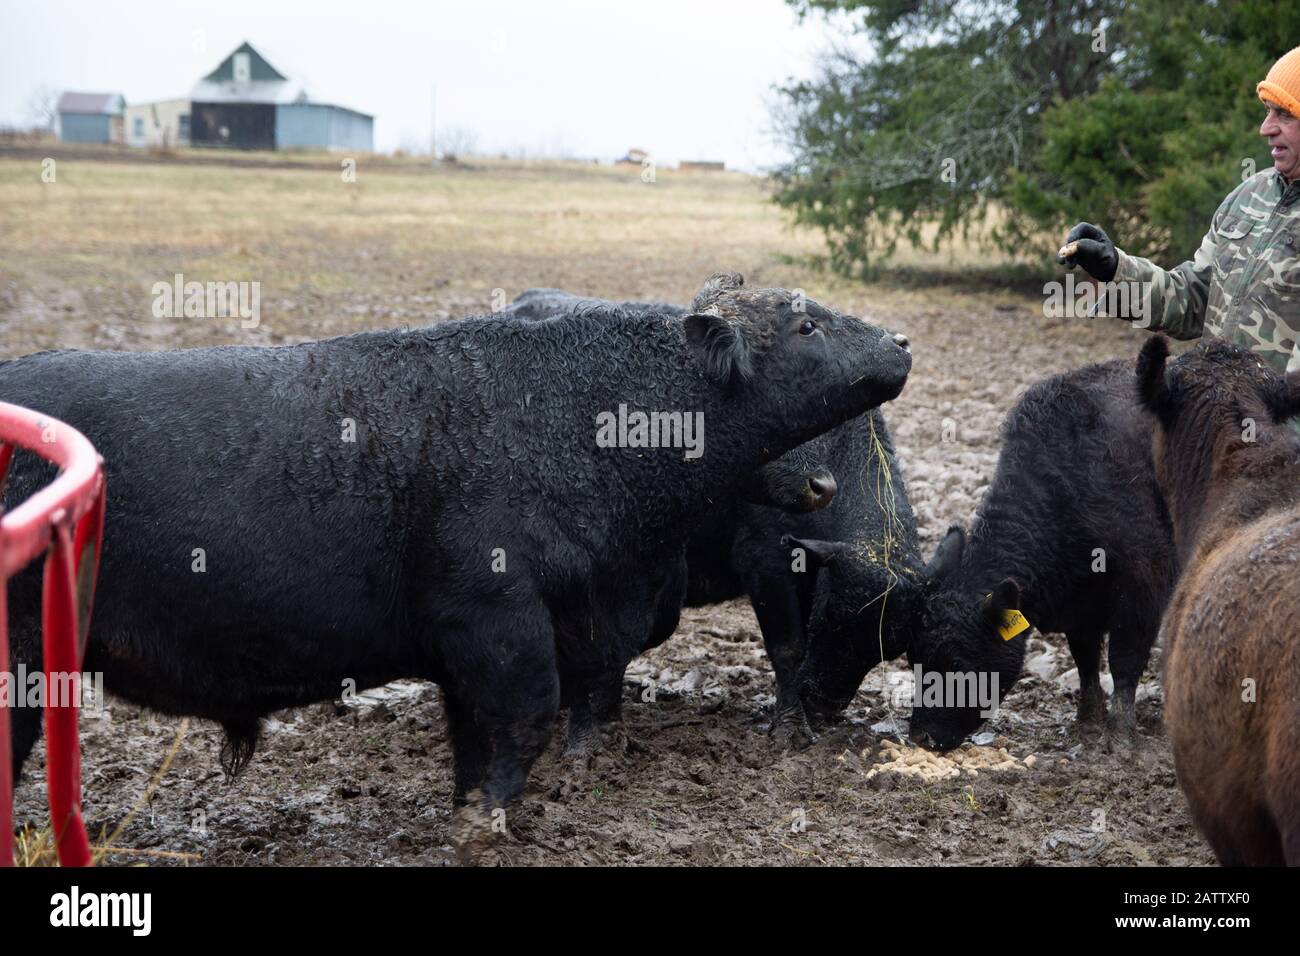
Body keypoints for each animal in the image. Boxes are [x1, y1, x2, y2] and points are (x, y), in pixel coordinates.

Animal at [2, 275, 911, 858]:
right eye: (805, 325)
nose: (901, 339)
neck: (577, 416)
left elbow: (500, 729)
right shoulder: (497, 613)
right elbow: (526, 718)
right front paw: (486, 826)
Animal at [904, 359, 1176, 751]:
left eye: (957, 664)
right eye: (913, 659)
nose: (921, 736)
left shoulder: (1143, 586)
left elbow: (1124, 660)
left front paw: (1121, 734)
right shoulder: (1081, 607)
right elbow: (1085, 659)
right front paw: (1087, 722)